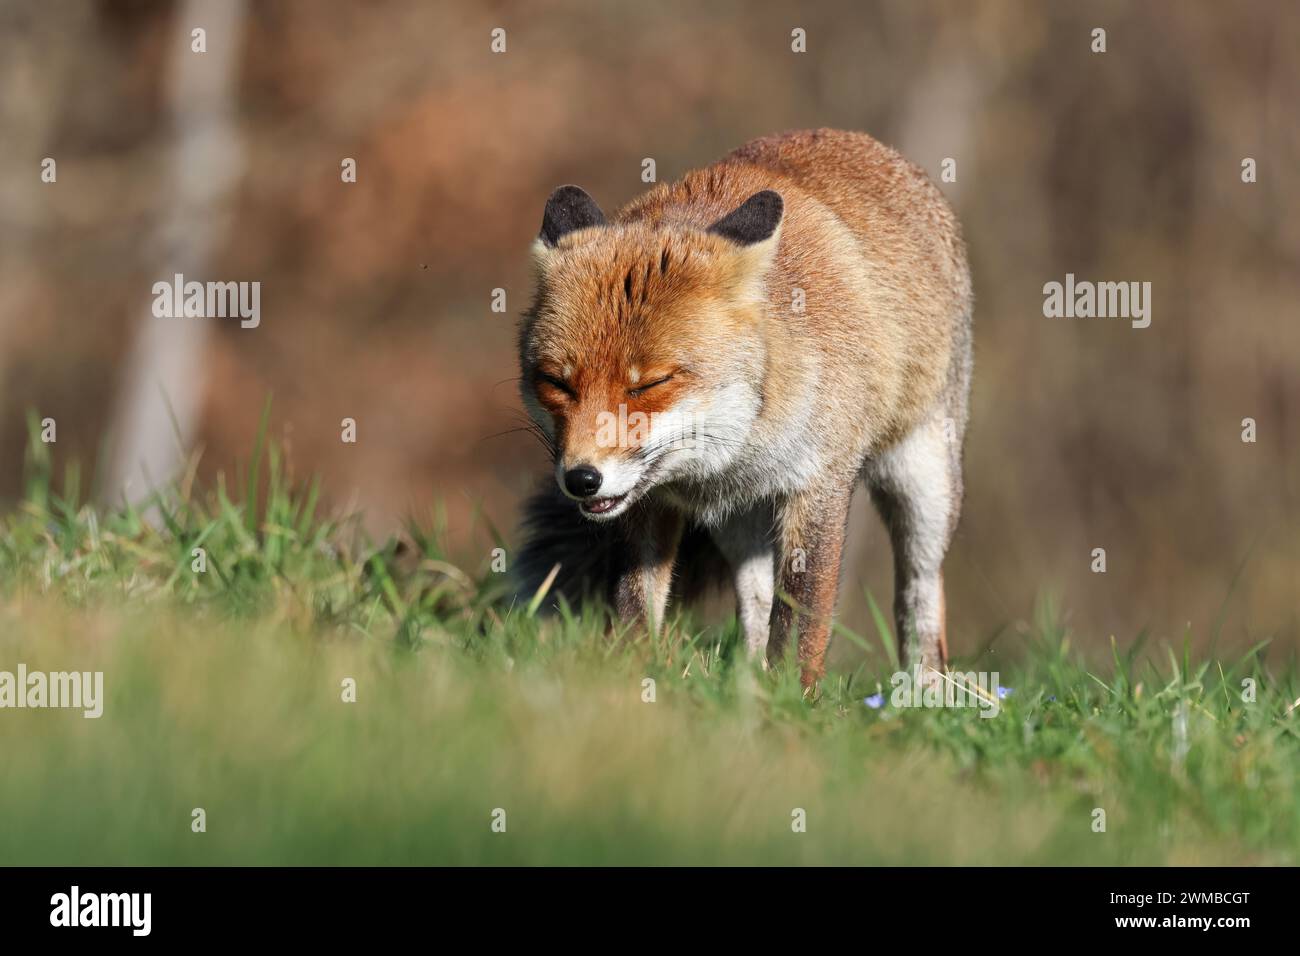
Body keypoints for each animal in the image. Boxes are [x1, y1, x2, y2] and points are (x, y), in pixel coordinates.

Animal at [514, 128, 972, 690]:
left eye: (653, 384)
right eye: (557, 383)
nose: (581, 479)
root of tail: (861, 141)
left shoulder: (818, 485)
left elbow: (801, 620)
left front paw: (793, 698)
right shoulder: (646, 500)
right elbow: (635, 604)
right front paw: (631, 679)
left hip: (925, 484)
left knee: (921, 596)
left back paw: (925, 690)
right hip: (741, 524)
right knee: (753, 603)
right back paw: (747, 685)